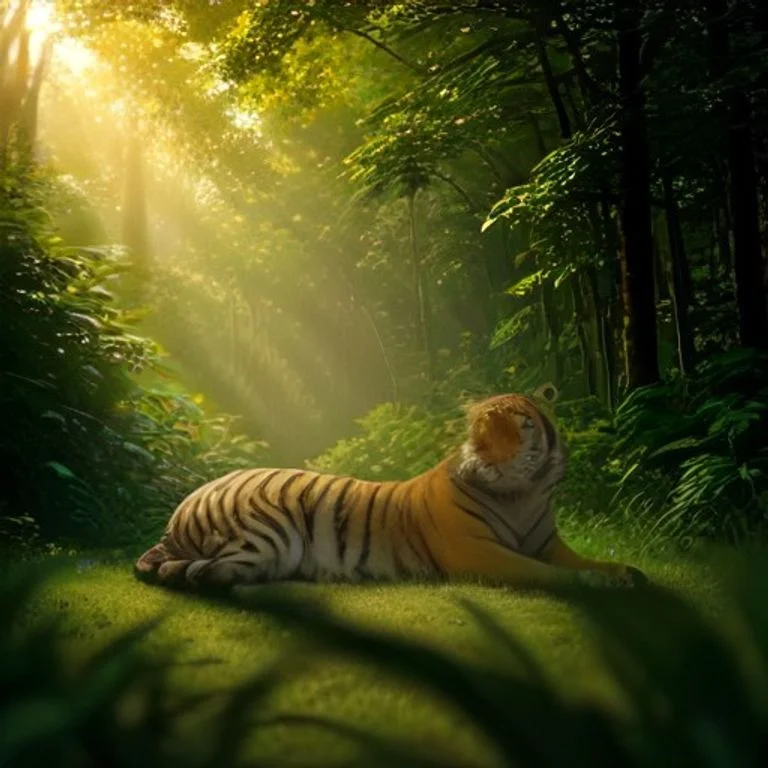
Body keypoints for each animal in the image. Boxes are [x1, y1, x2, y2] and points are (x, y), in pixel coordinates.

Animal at [134, 387, 647, 591]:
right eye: (480, 426)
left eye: (518, 424)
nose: (484, 454)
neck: (523, 494)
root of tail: (179, 514)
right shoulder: (478, 553)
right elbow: (548, 574)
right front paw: (599, 583)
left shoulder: (547, 542)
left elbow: (586, 561)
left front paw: (627, 572)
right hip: (268, 537)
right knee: (208, 572)